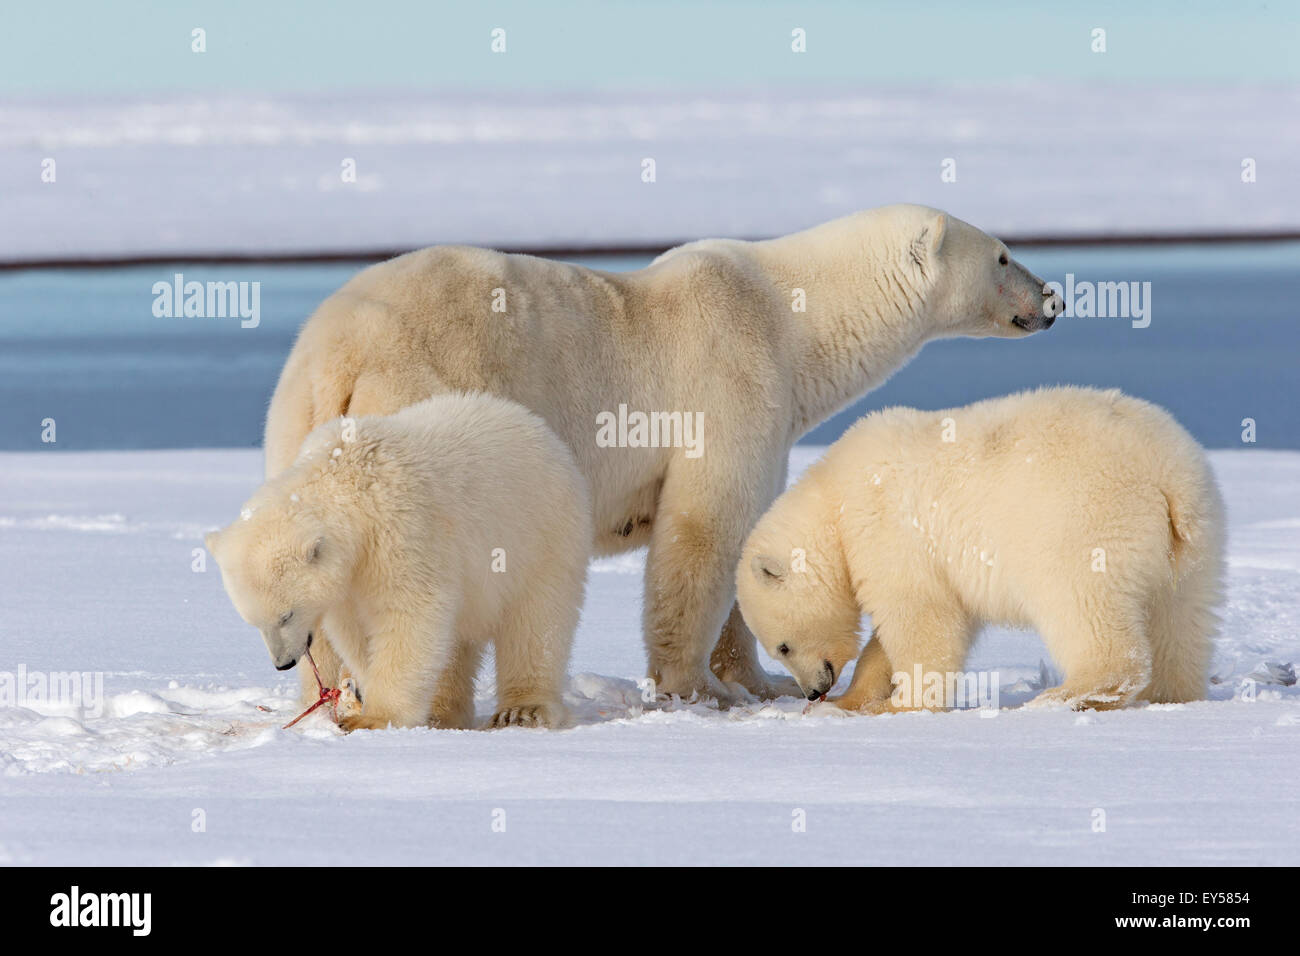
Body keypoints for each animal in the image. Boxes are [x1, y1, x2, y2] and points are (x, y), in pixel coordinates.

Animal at [206, 392, 592, 731]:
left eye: (286, 614)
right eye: (253, 621)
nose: (283, 664)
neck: (347, 480)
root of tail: (539, 428)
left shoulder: (400, 529)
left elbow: (410, 614)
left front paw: (373, 718)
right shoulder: (351, 577)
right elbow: (358, 631)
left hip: (541, 533)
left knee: (536, 622)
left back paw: (523, 709)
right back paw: (442, 711)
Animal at [263, 204, 1063, 708]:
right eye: (1002, 253)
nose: (1054, 298)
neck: (793, 319)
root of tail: (339, 358)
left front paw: (753, 681)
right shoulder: (732, 376)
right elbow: (706, 528)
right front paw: (698, 687)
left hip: (290, 418)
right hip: (424, 391)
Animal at [736, 387, 1225, 712]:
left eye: (781, 646)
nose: (813, 690)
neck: (835, 498)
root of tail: (1168, 479)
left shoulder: (889, 529)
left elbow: (921, 619)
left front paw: (899, 705)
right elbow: (921, 627)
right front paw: (852, 700)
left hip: (1082, 525)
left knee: (1082, 607)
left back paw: (1063, 695)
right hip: (1193, 548)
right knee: (1181, 622)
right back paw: (1170, 696)